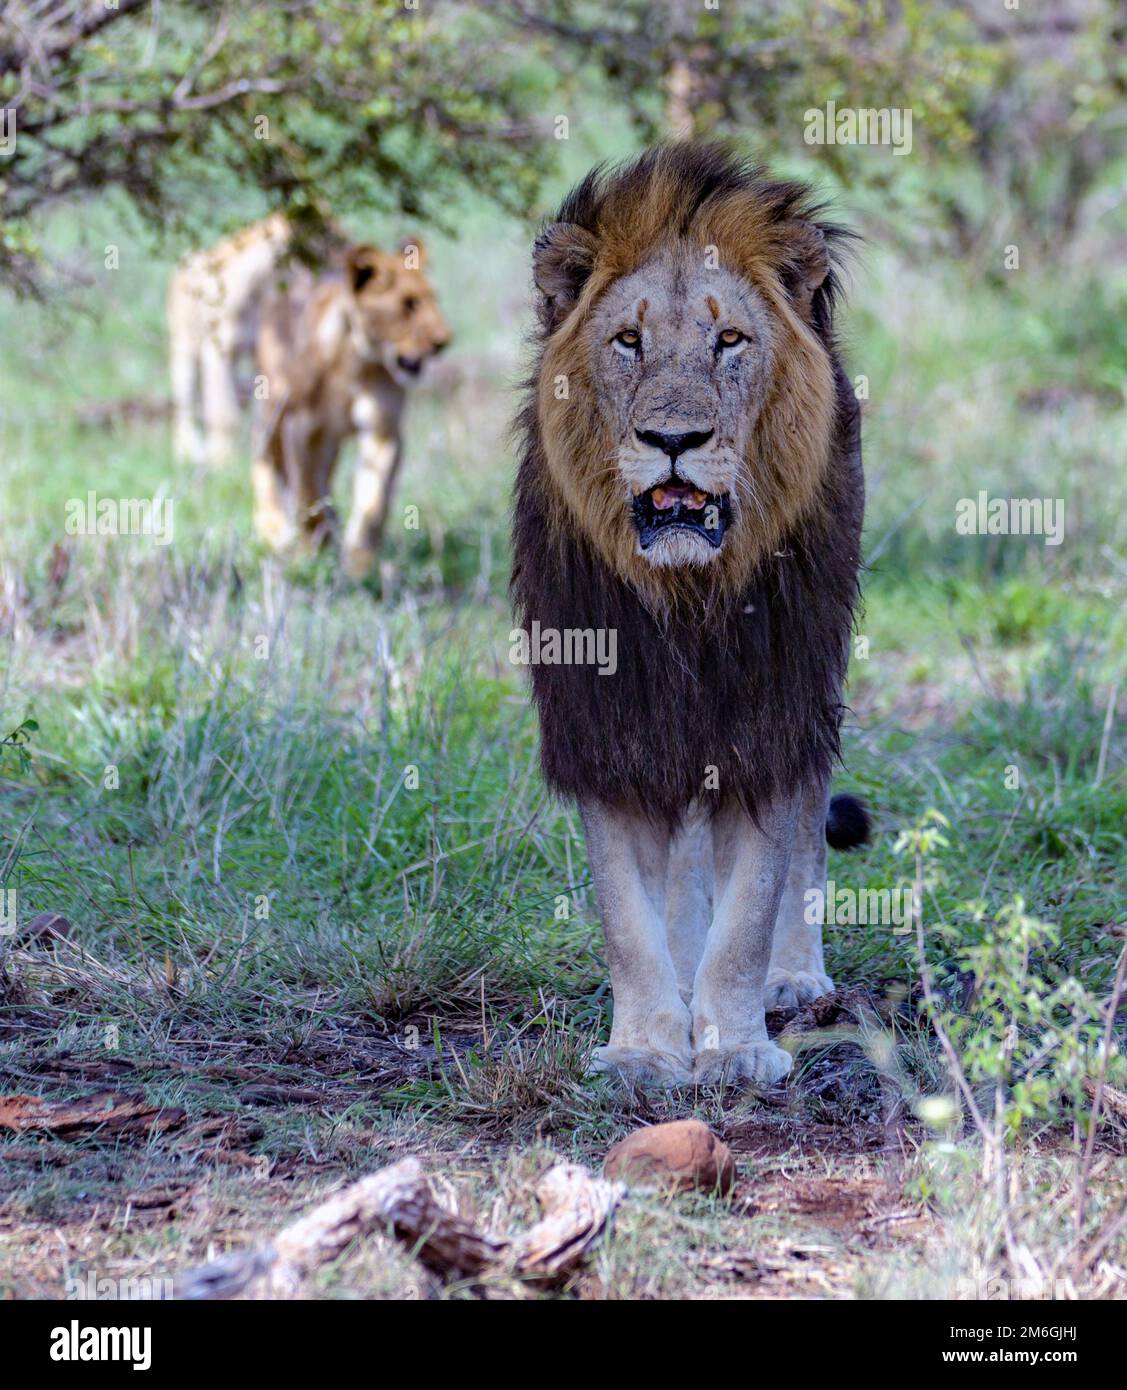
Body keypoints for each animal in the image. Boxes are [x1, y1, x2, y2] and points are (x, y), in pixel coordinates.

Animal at [251, 239, 450, 579]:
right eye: (408, 304)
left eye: (433, 298)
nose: (444, 341)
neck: (356, 361)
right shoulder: (302, 426)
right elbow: (307, 495)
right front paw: (315, 551)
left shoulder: (383, 431)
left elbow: (373, 502)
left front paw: (359, 564)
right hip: (274, 411)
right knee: (265, 457)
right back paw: (274, 532)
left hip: (330, 440)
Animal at [512, 143, 870, 1089]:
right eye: (628, 340)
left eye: (729, 340)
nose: (674, 441)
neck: (685, 599)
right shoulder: (610, 726)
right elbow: (628, 918)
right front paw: (645, 1047)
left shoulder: (770, 714)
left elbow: (748, 913)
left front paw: (736, 1046)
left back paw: (793, 977)